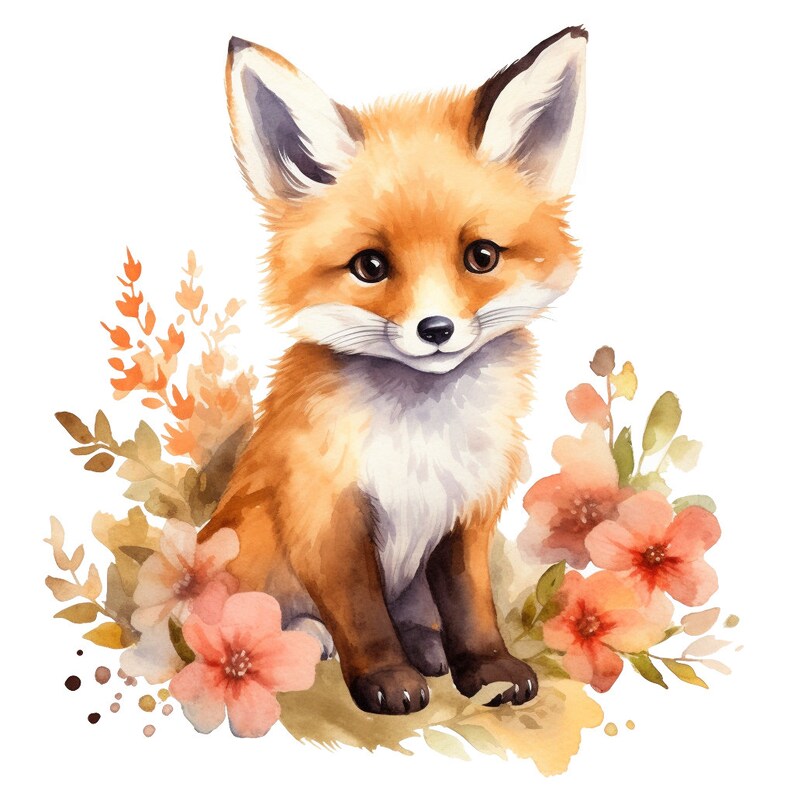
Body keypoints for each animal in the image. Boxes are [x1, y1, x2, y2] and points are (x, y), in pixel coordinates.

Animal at [198, 26, 587, 715]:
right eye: (370, 266)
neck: (421, 439)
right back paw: (310, 638)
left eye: (481, 256)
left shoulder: (466, 514)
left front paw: (487, 670)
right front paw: (386, 679)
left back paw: (428, 649)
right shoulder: (327, 516)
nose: (436, 330)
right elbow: (361, 616)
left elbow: (472, 608)